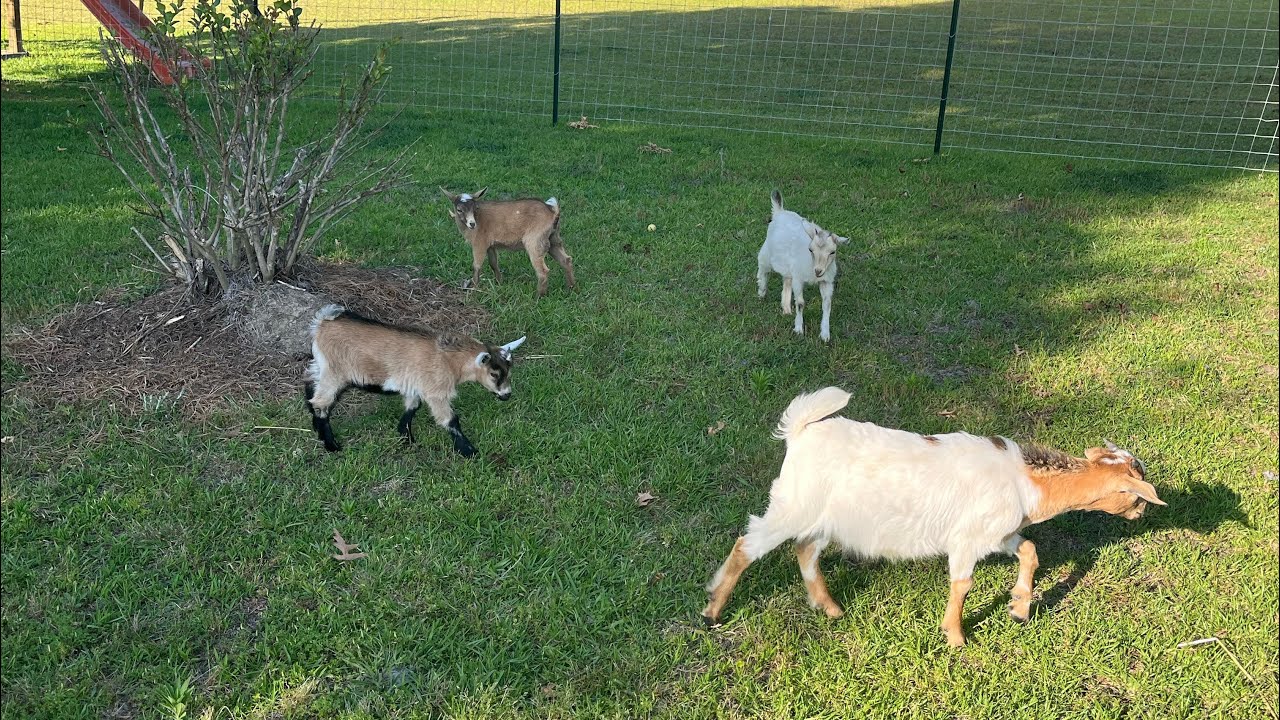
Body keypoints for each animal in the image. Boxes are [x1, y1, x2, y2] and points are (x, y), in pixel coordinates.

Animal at [304, 304, 526, 457]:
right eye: (494, 374)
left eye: (509, 371)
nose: (507, 395)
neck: (450, 360)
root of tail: (321, 323)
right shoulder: (436, 391)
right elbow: (450, 420)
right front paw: (469, 451)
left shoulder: (415, 386)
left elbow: (412, 407)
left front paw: (406, 437)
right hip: (335, 371)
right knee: (321, 402)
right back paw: (332, 445)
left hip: (322, 366)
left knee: (310, 386)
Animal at [441, 187, 577, 297]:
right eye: (459, 209)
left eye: (475, 208)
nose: (472, 224)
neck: (479, 219)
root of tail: (552, 211)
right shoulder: (491, 245)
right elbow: (493, 263)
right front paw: (499, 283)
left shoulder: (479, 243)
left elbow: (476, 266)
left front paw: (474, 288)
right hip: (553, 239)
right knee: (566, 260)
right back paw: (571, 288)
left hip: (535, 241)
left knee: (543, 271)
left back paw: (538, 297)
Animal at [702, 387, 1166, 647]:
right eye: (1136, 495)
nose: (1141, 515)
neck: (1026, 481)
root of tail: (800, 433)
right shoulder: (966, 540)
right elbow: (962, 584)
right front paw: (957, 637)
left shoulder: (998, 533)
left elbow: (1031, 550)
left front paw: (1018, 608)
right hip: (793, 504)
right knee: (747, 544)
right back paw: (712, 613)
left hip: (824, 518)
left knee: (805, 550)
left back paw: (830, 609)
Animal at [756, 190, 849, 342]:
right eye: (810, 249)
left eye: (833, 252)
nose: (818, 271)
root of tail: (780, 211)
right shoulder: (799, 279)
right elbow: (800, 303)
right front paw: (799, 330)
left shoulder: (826, 281)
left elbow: (827, 304)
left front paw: (825, 335)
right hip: (766, 254)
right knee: (763, 269)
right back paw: (761, 292)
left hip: (789, 268)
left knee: (786, 281)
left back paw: (786, 309)